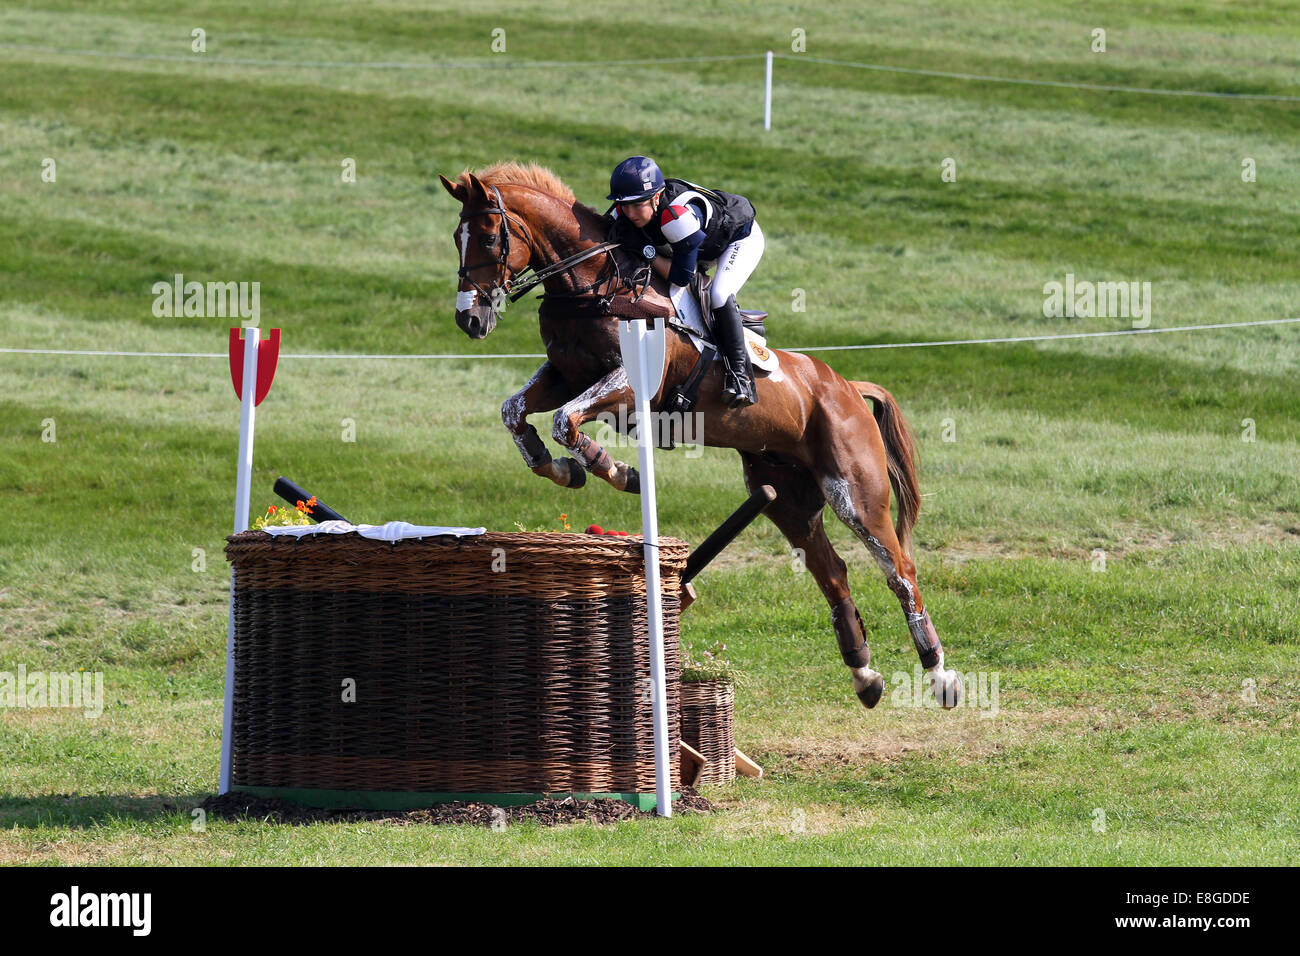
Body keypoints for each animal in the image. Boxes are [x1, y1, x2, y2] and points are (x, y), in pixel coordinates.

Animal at [440, 161, 962, 711]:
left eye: (490, 236)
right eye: (456, 237)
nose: (470, 319)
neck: (593, 285)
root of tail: (847, 388)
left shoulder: (629, 385)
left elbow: (566, 420)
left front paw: (618, 470)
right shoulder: (566, 375)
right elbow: (516, 412)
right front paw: (559, 467)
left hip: (855, 492)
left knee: (901, 572)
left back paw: (940, 676)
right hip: (787, 498)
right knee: (834, 574)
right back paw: (865, 676)